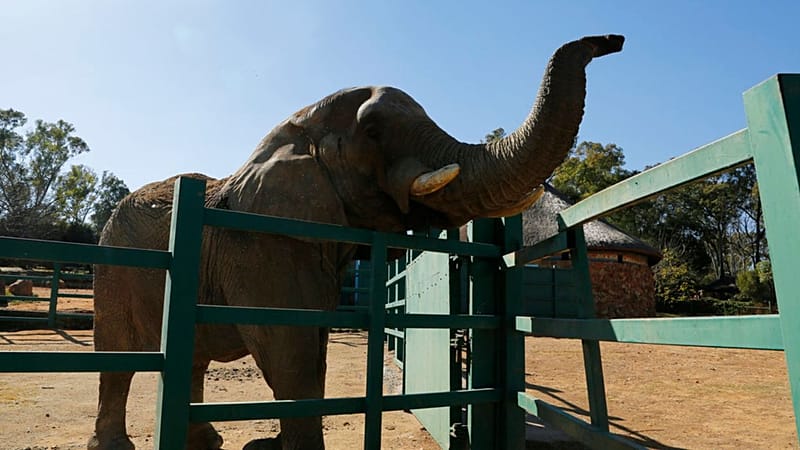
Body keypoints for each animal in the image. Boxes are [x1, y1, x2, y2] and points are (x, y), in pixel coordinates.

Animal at [87, 34, 624, 450]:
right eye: (372, 131)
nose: (610, 40)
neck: (294, 128)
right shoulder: (263, 244)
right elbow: (289, 349)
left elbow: (313, 347)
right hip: (113, 267)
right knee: (116, 353)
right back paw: (116, 444)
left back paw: (205, 442)